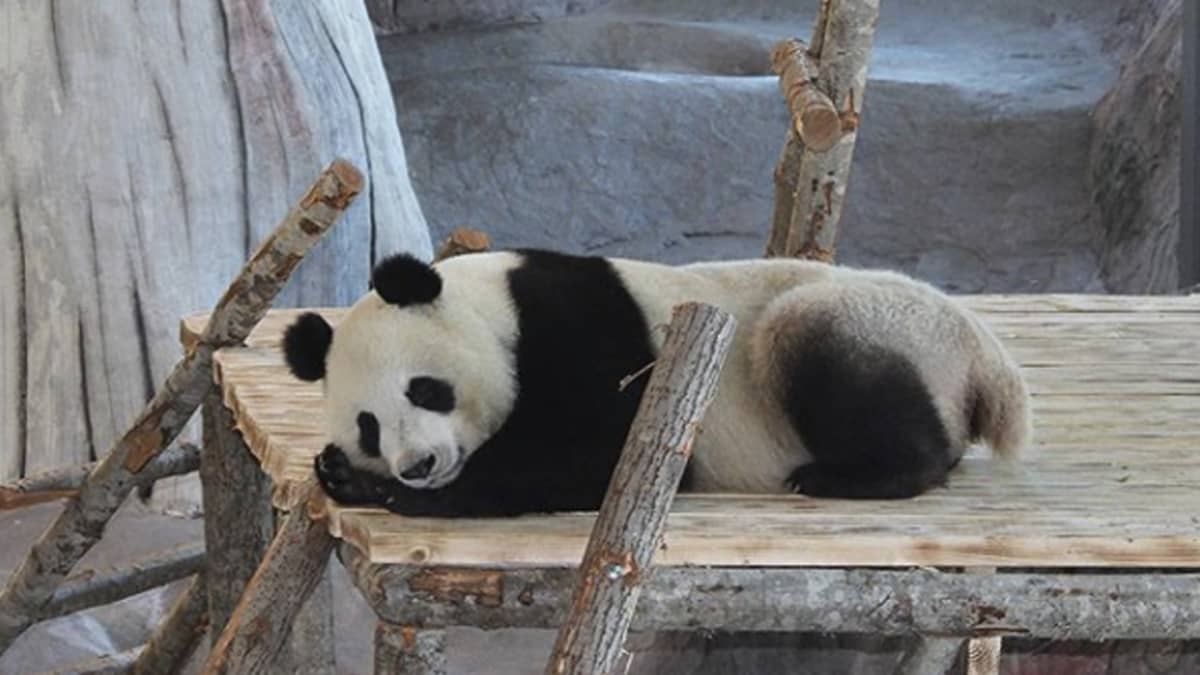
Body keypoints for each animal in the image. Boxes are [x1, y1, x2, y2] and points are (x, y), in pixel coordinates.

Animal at [282, 249, 1031, 517]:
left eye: (425, 389)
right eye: (368, 425)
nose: (418, 465)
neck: (491, 303)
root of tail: (987, 357)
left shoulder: (578, 330)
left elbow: (593, 455)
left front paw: (386, 492)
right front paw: (343, 472)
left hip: (865, 322)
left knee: (810, 344)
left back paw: (842, 475)